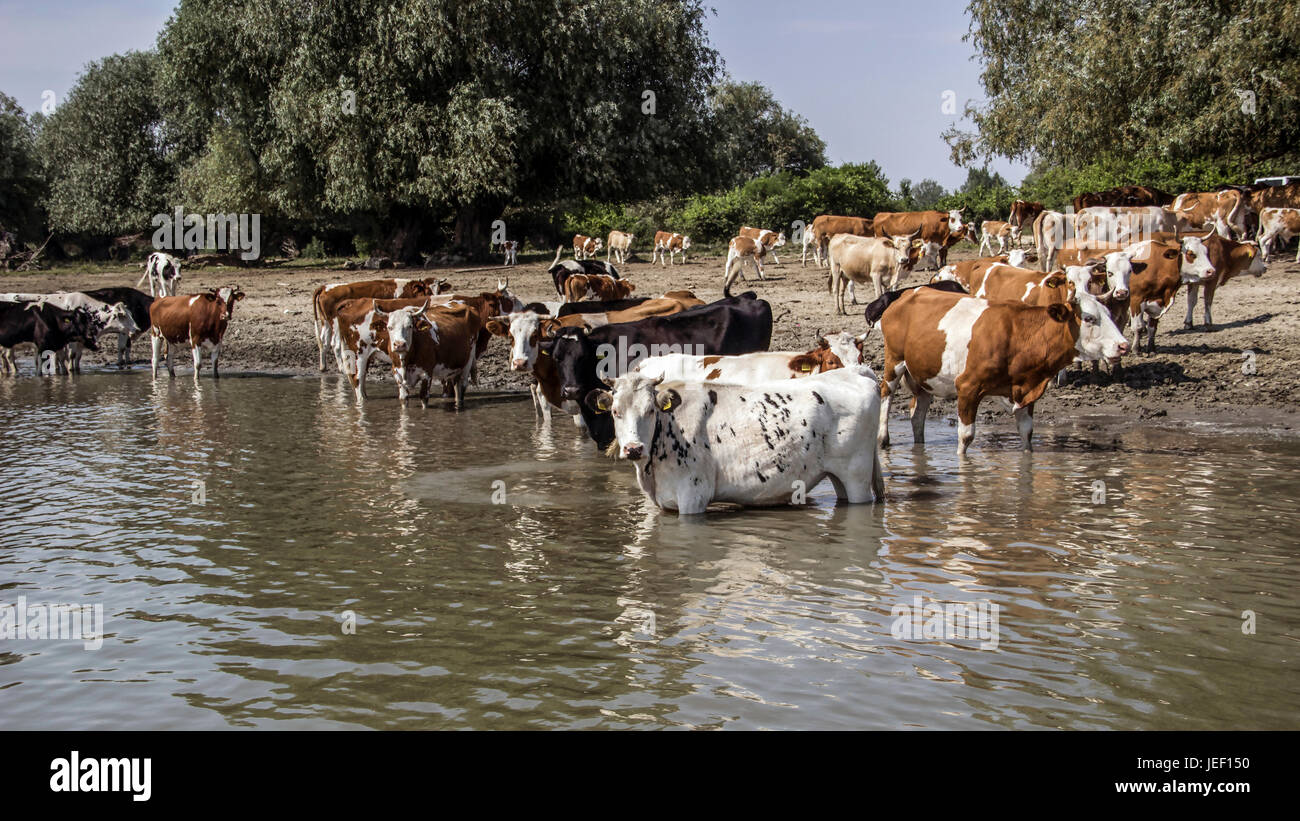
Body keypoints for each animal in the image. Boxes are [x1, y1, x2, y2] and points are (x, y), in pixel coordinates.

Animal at [312, 277, 449, 372]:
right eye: (427, 290)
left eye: (439, 290)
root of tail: (324, 288)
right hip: (334, 324)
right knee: (334, 344)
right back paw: (341, 368)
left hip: (326, 323)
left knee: (324, 341)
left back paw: (323, 366)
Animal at [584, 365, 885, 514]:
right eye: (615, 411)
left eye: (650, 410)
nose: (634, 449)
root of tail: (853, 372)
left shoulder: (693, 496)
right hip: (839, 477)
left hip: (856, 477)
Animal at [877, 286, 1128, 455]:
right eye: (1089, 318)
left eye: (1109, 314)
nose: (1123, 345)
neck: (1019, 335)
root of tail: (907, 294)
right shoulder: (967, 387)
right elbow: (966, 437)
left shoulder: (1026, 390)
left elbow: (1027, 432)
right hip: (894, 360)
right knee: (886, 395)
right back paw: (883, 437)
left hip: (923, 375)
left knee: (917, 414)